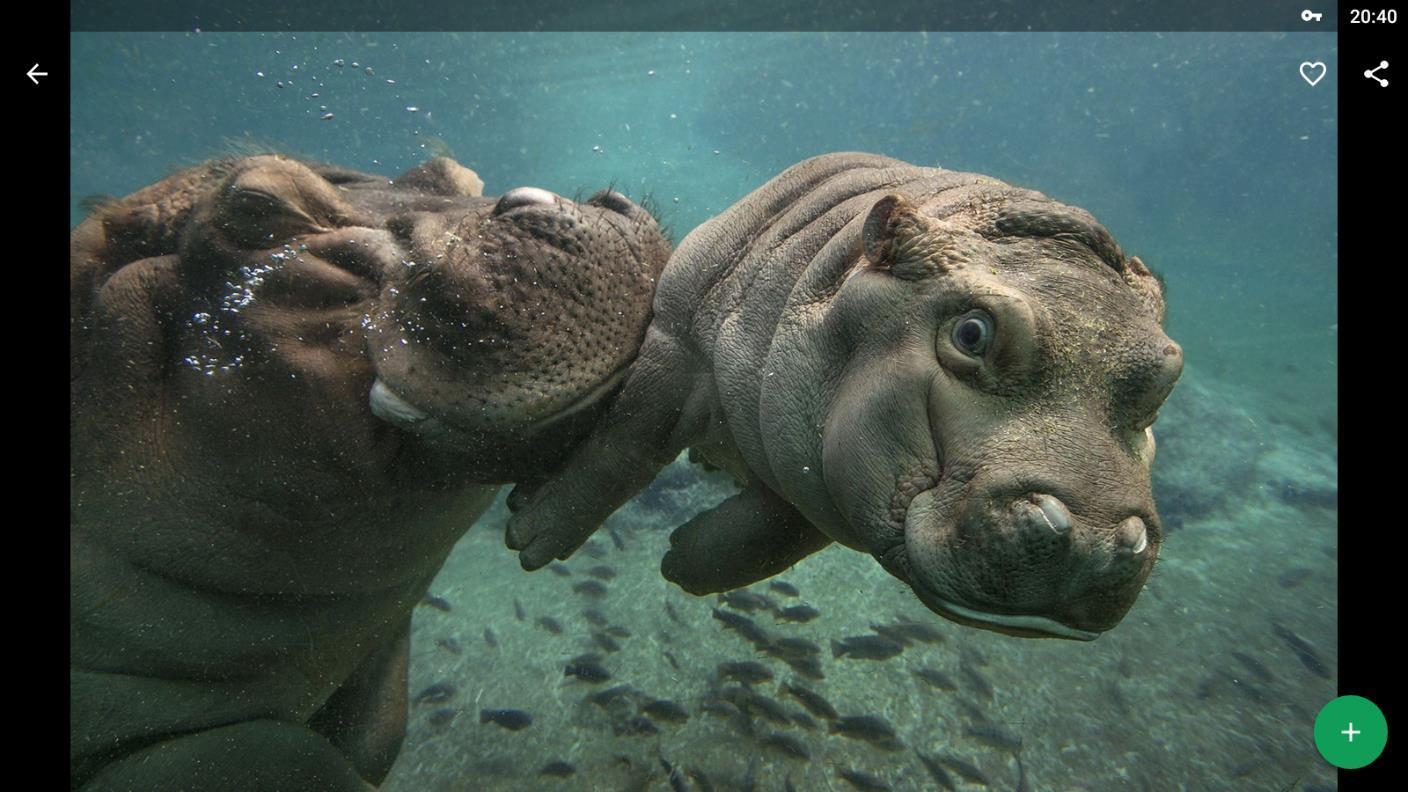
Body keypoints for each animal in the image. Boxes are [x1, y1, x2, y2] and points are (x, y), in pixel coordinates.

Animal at [70, 154, 670, 790]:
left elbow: (379, 735)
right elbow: (295, 754)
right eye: (257, 204)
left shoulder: (379, 648)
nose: (586, 206)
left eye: (458, 174)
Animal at [507, 152, 1181, 642]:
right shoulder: (678, 340)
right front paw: (528, 534)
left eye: (1166, 378)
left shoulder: (817, 474)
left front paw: (681, 562)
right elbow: (623, 446)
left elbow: (766, 538)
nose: (1094, 539)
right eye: (971, 332)